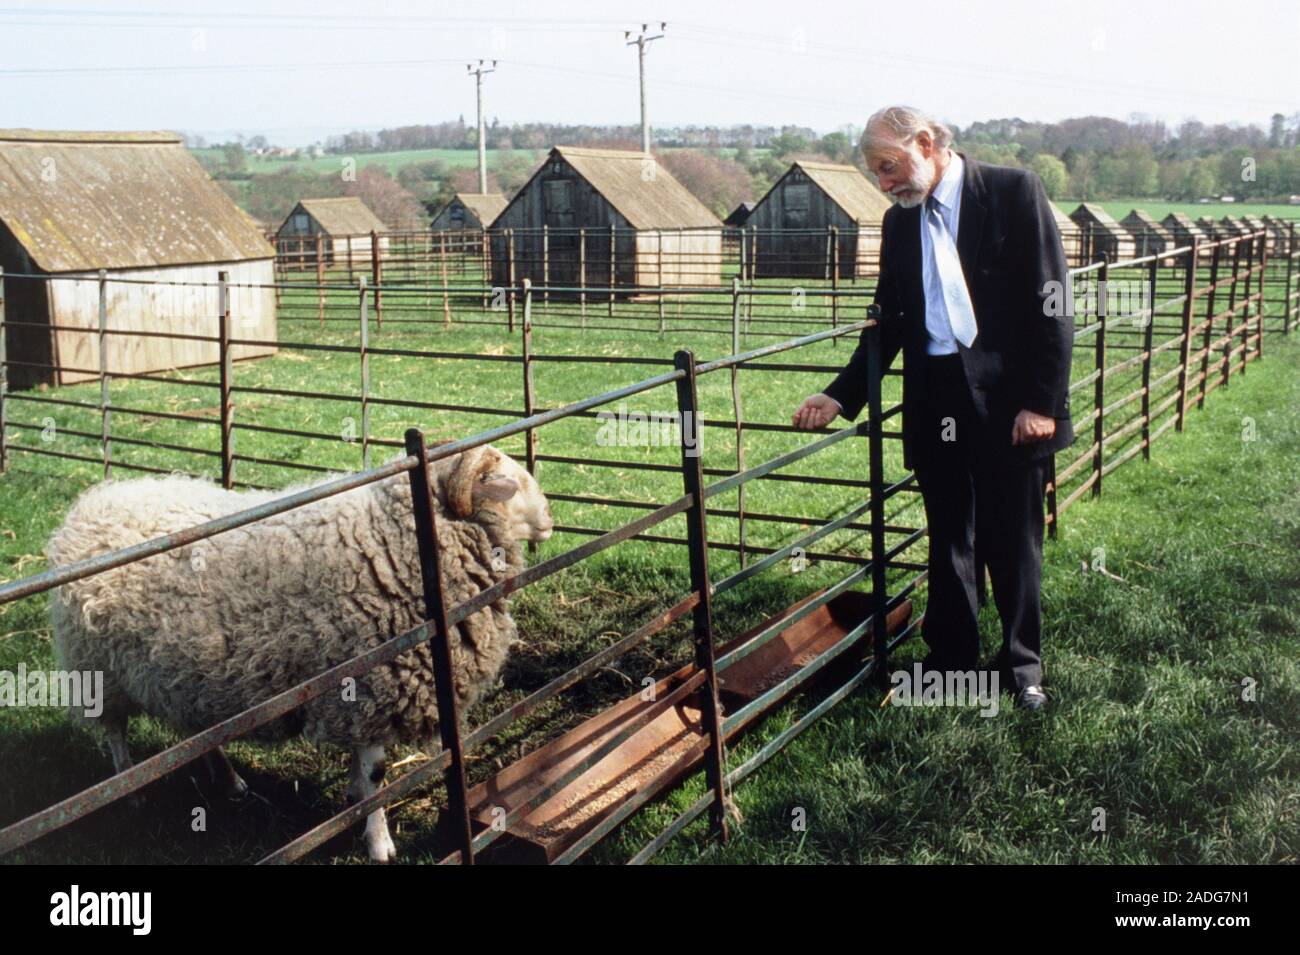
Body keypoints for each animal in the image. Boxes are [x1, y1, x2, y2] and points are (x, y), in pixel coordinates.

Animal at [45, 443, 553, 862]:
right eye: (502, 482)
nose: (550, 517)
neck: (404, 544)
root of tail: (92, 505)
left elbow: (362, 774)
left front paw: (354, 806)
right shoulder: (367, 691)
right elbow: (376, 775)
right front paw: (380, 844)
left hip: (185, 673)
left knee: (198, 734)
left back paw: (231, 783)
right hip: (98, 669)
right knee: (115, 733)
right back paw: (130, 791)